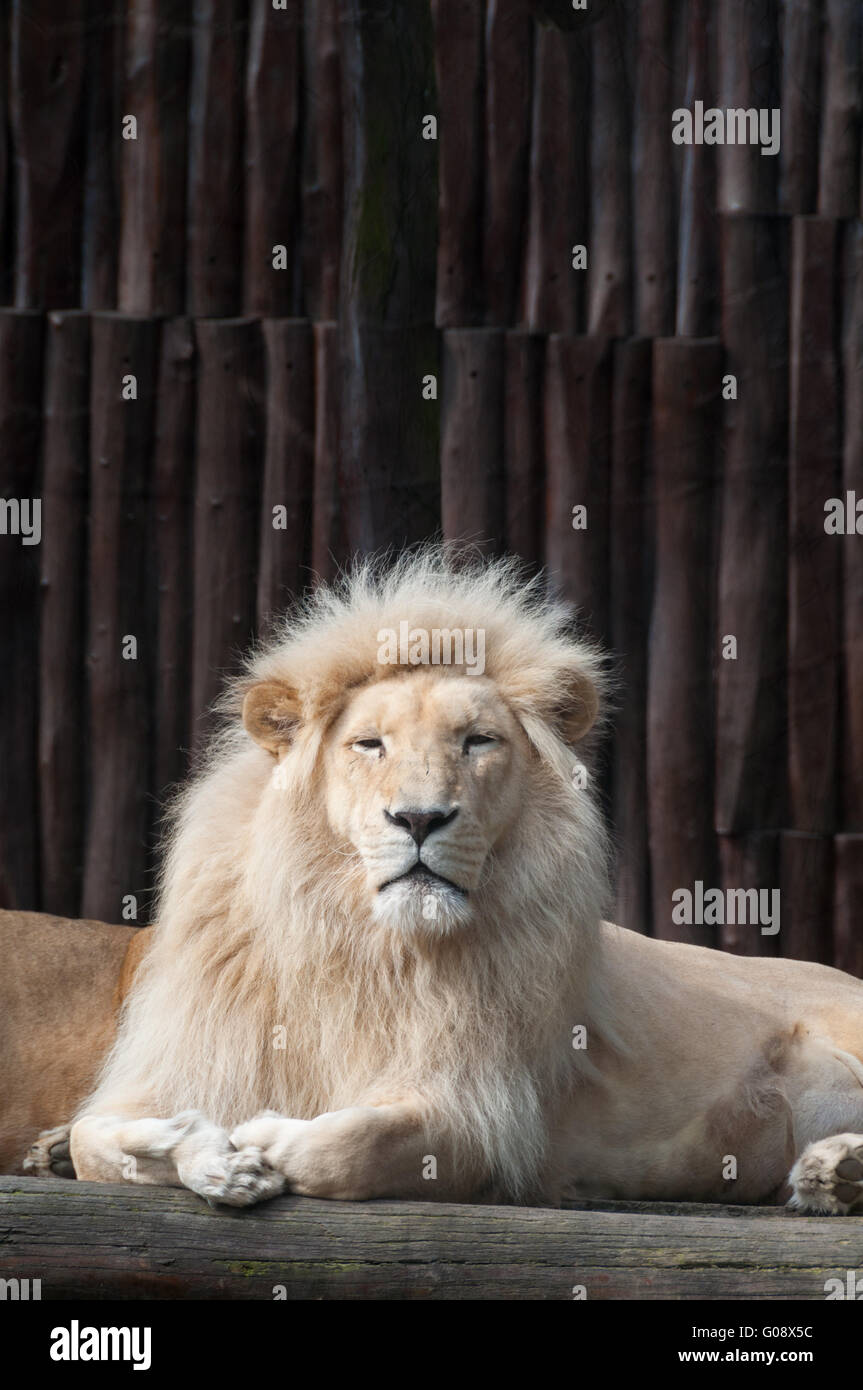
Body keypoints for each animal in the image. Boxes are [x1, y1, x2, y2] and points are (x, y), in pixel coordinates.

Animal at [26, 550, 863, 1213]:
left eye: (477, 742)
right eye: (369, 743)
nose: (420, 818)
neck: (352, 939)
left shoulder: (487, 1119)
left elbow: (354, 1144)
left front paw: (262, 1140)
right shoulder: (186, 1057)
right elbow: (103, 1139)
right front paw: (206, 1159)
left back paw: (834, 1170)